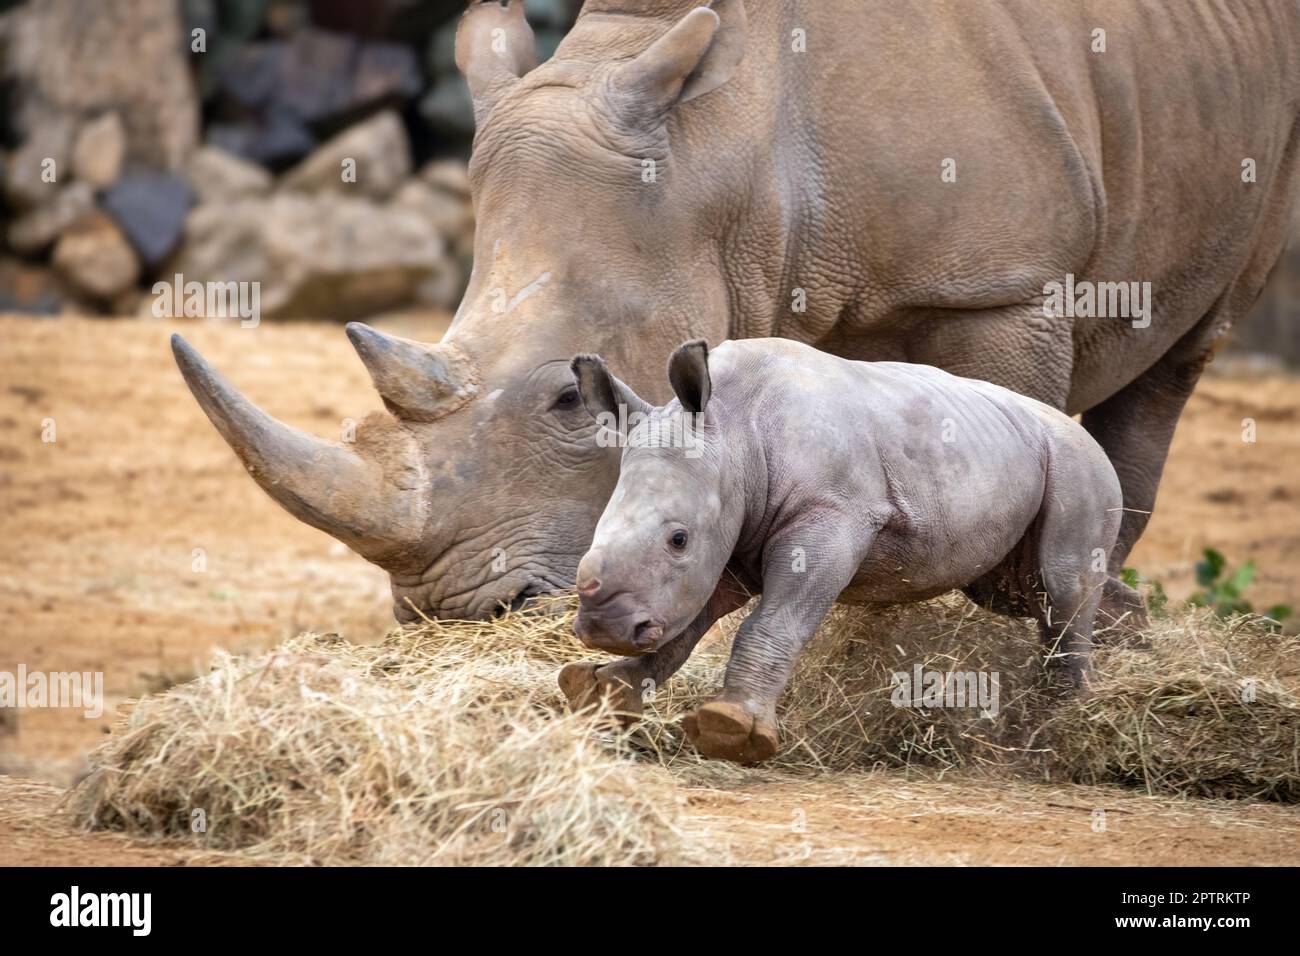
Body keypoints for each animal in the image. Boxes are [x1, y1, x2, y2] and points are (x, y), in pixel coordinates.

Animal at [172, 0, 1300, 626]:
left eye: (569, 400)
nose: (453, 616)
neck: (726, 147)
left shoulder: (999, 281)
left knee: (1177, 361)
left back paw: (1103, 607)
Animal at [566, 339, 1122, 762]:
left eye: (678, 540)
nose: (604, 629)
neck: (736, 430)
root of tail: (1084, 436)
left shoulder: (833, 515)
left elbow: (773, 621)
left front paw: (732, 730)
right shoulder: (732, 537)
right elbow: (686, 627)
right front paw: (598, 690)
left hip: (1078, 464)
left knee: (1060, 589)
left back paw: (1058, 733)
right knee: (1020, 595)